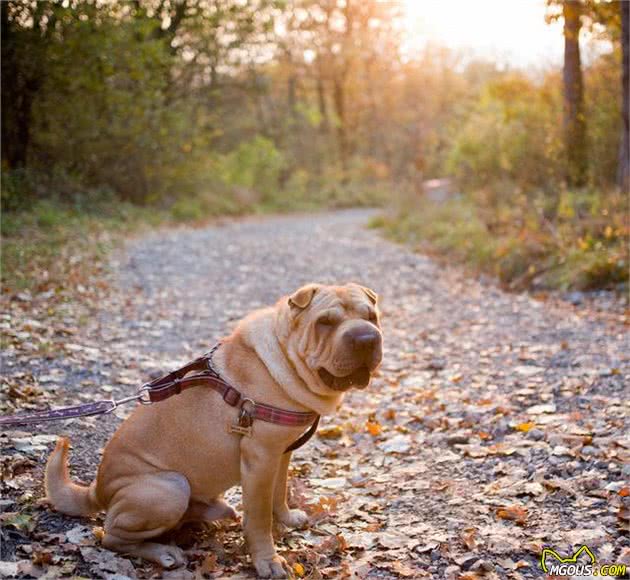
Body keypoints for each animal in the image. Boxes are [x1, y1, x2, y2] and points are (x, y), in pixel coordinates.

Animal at [44, 284, 382, 576]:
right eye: (325, 322)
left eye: (371, 316)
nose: (367, 338)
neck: (285, 357)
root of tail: (97, 489)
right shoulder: (261, 459)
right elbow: (259, 517)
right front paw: (268, 561)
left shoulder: (281, 454)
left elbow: (279, 492)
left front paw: (286, 518)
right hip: (169, 488)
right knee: (111, 535)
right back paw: (163, 553)